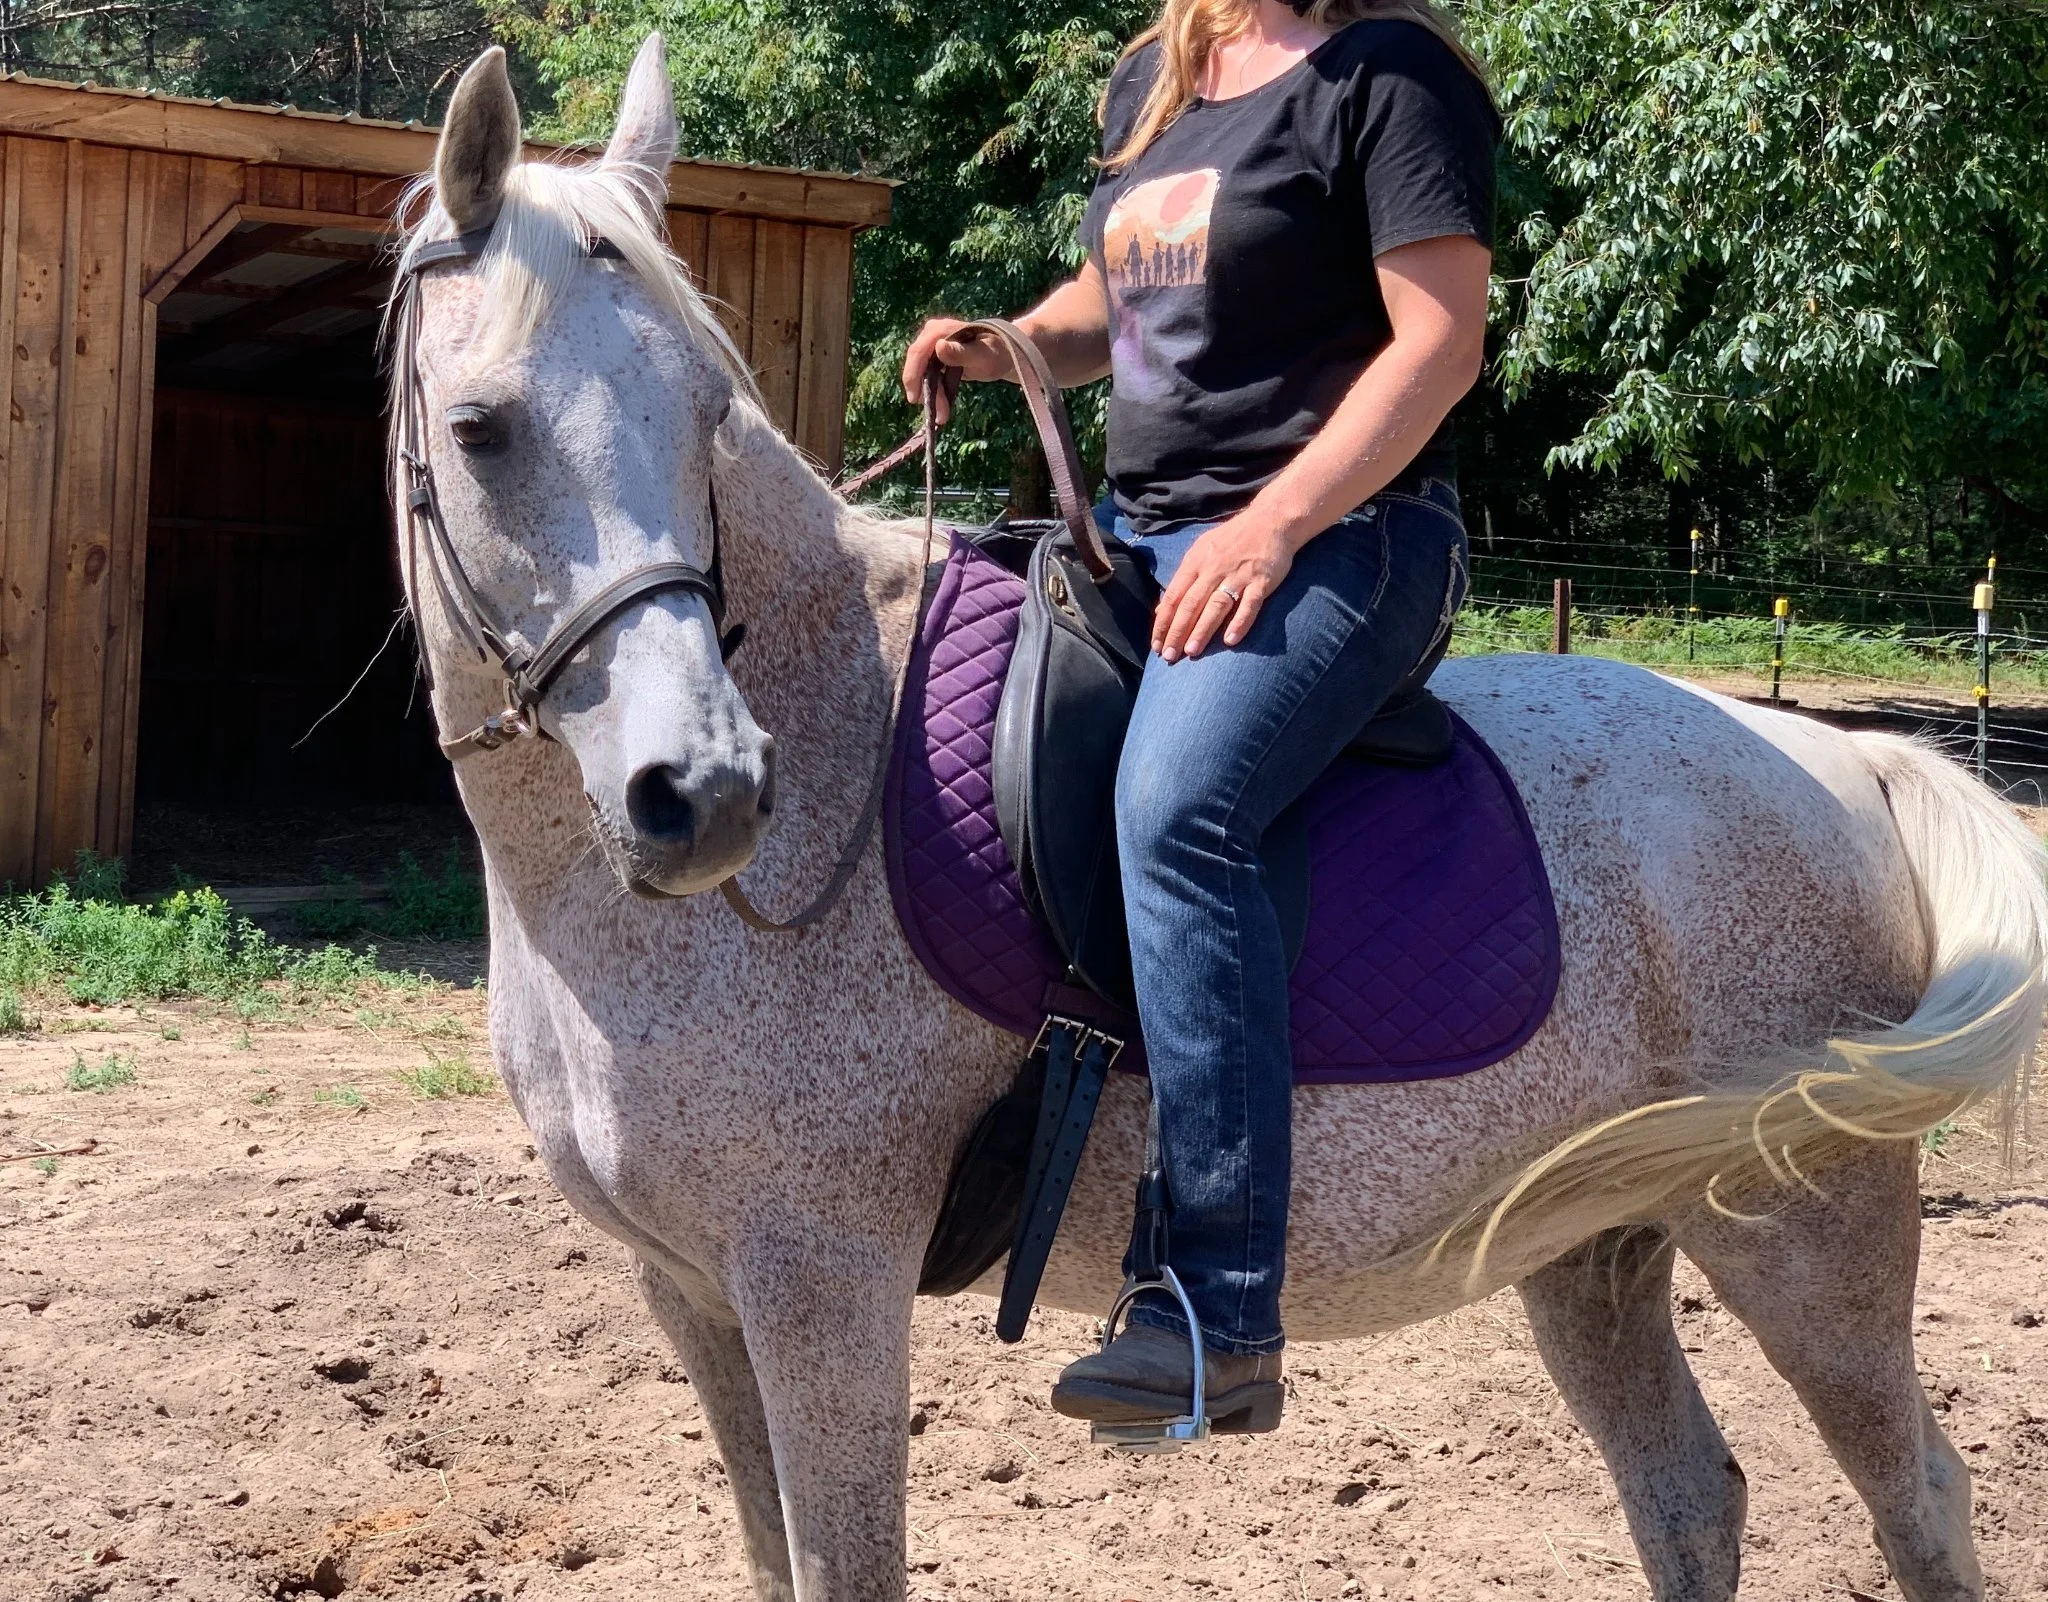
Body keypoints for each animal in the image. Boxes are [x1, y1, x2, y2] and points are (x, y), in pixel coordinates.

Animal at [390, 36, 2048, 1602]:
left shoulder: (820, 1287)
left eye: (706, 416)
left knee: (1918, 1498)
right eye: (479, 429)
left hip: (1807, 1233)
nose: (706, 793)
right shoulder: (696, 1296)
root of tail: (1848, 763)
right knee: (1692, 1499)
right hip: (1592, 1244)